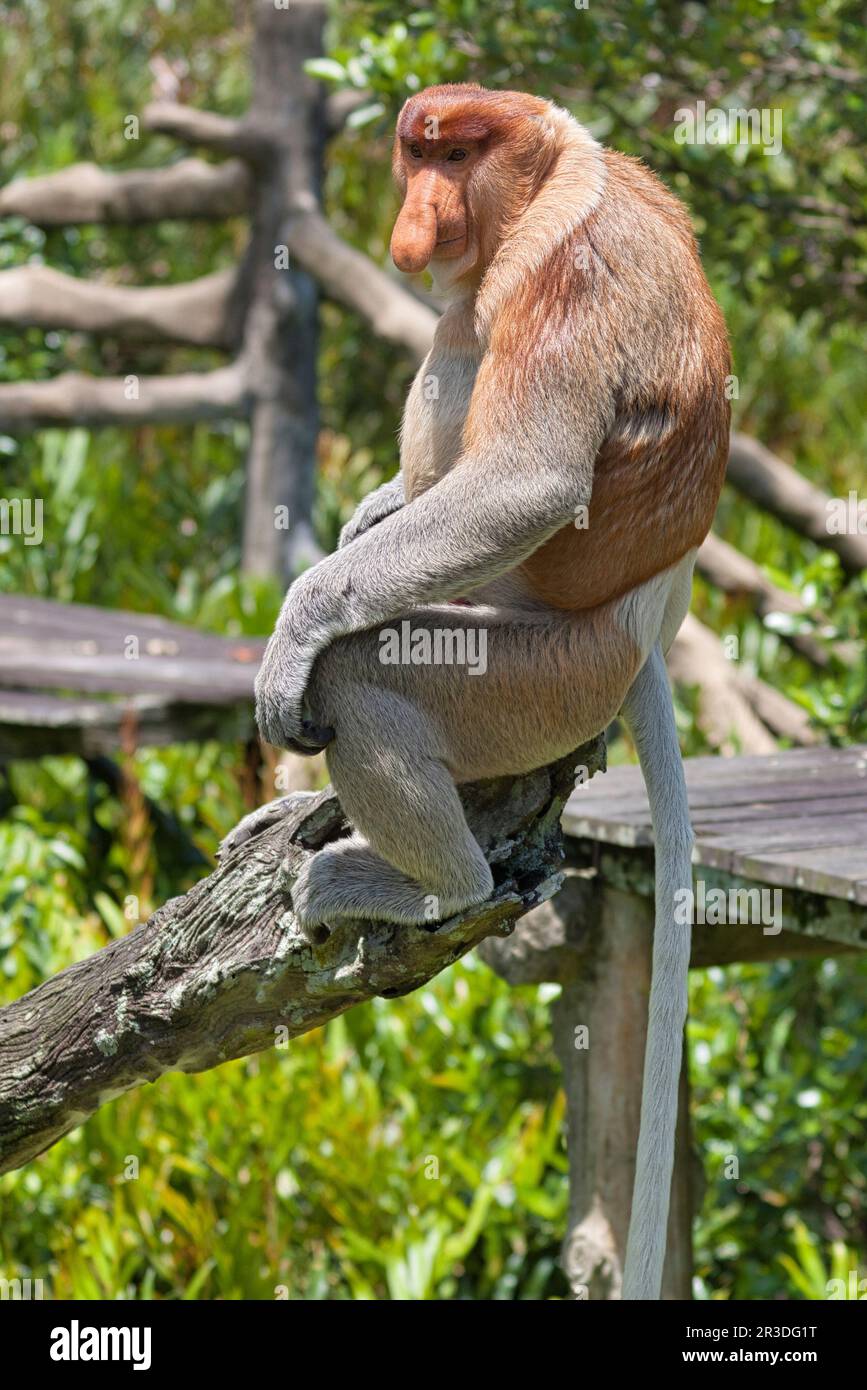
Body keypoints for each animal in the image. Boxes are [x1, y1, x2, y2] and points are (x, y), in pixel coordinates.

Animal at [249, 84, 731, 1299]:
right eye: (416, 151)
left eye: (459, 155)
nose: (420, 214)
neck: (554, 173)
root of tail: (647, 629)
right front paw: (372, 511)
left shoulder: (563, 268)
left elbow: (527, 482)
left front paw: (295, 630)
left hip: (540, 677)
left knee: (369, 676)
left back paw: (431, 887)